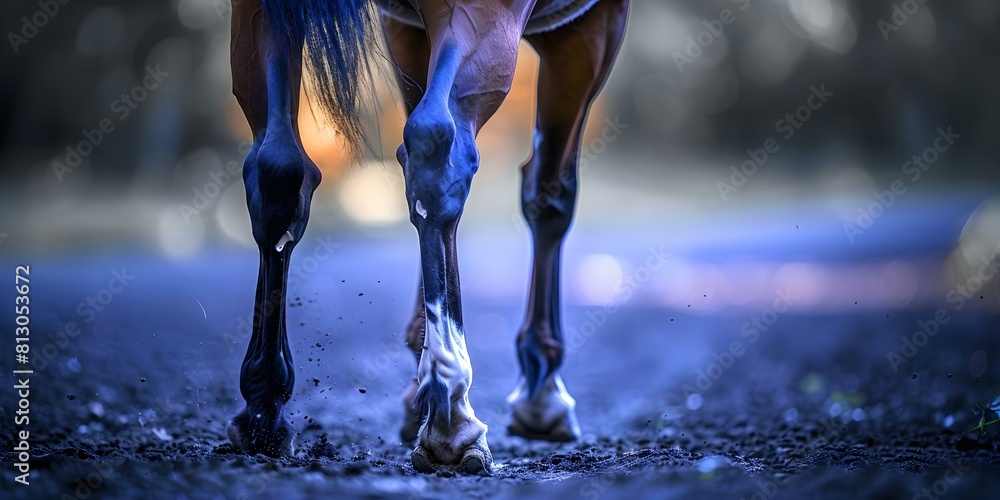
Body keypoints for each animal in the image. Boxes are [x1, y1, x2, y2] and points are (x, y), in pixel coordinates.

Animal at [226, 0, 630, 474]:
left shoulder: (405, 30)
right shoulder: (590, 31)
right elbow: (550, 195)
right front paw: (541, 390)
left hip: (260, 19)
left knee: (279, 169)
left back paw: (264, 410)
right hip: (486, 18)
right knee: (437, 148)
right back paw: (451, 414)